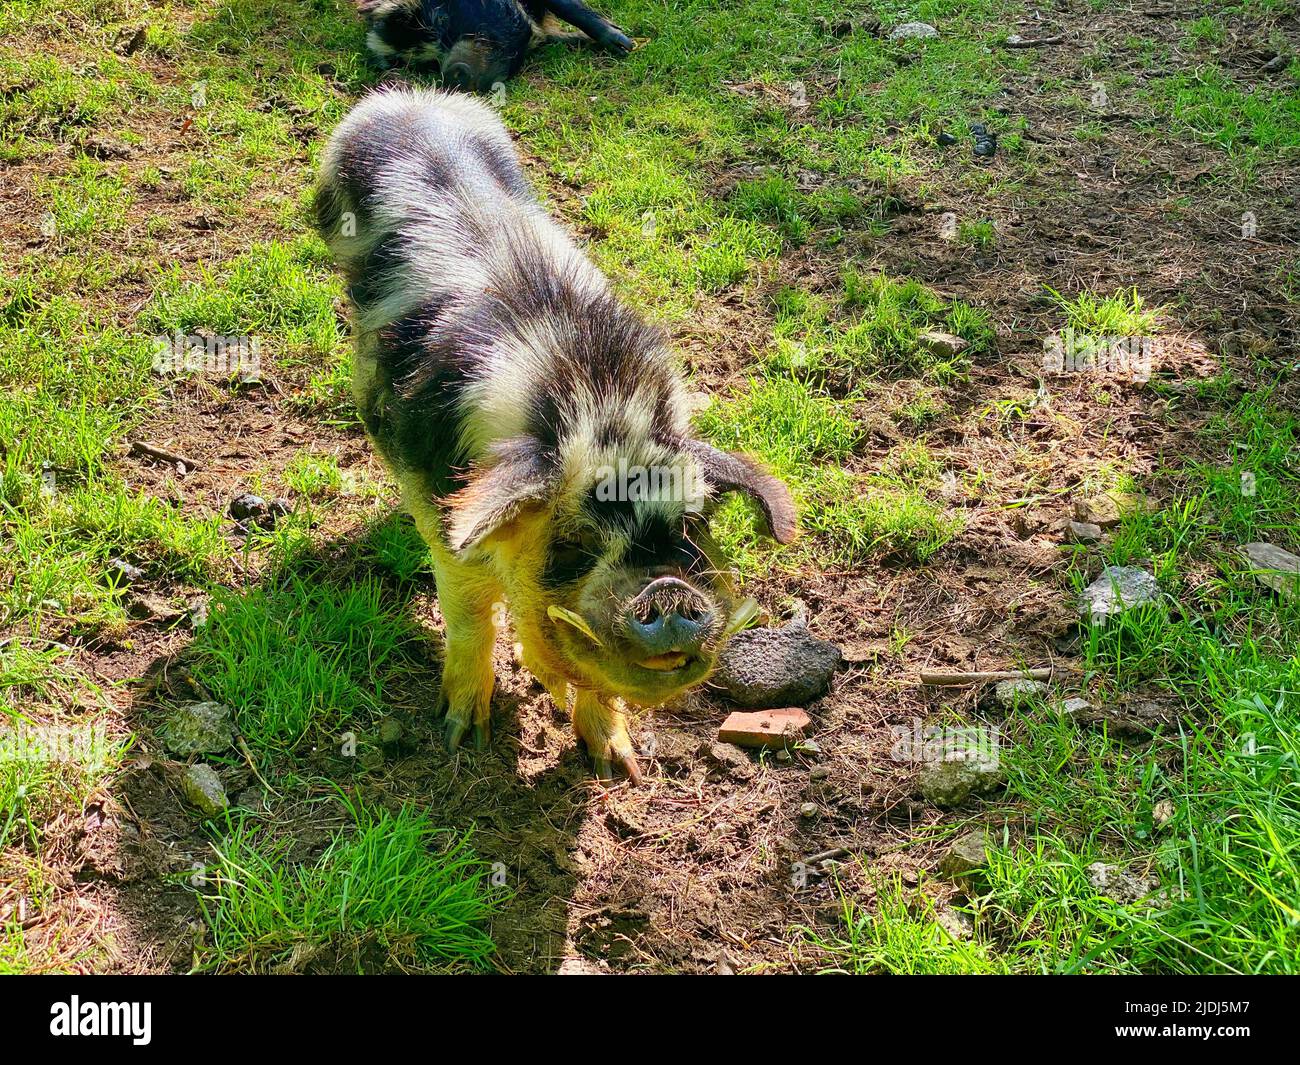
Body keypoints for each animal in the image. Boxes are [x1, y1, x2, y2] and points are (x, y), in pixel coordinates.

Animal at [314, 88, 796, 782]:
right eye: (575, 544)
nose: (667, 589)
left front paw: (619, 768)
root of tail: (405, 98)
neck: (592, 397)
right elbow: (471, 606)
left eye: (689, 530)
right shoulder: (436, 492)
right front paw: (462, 736)